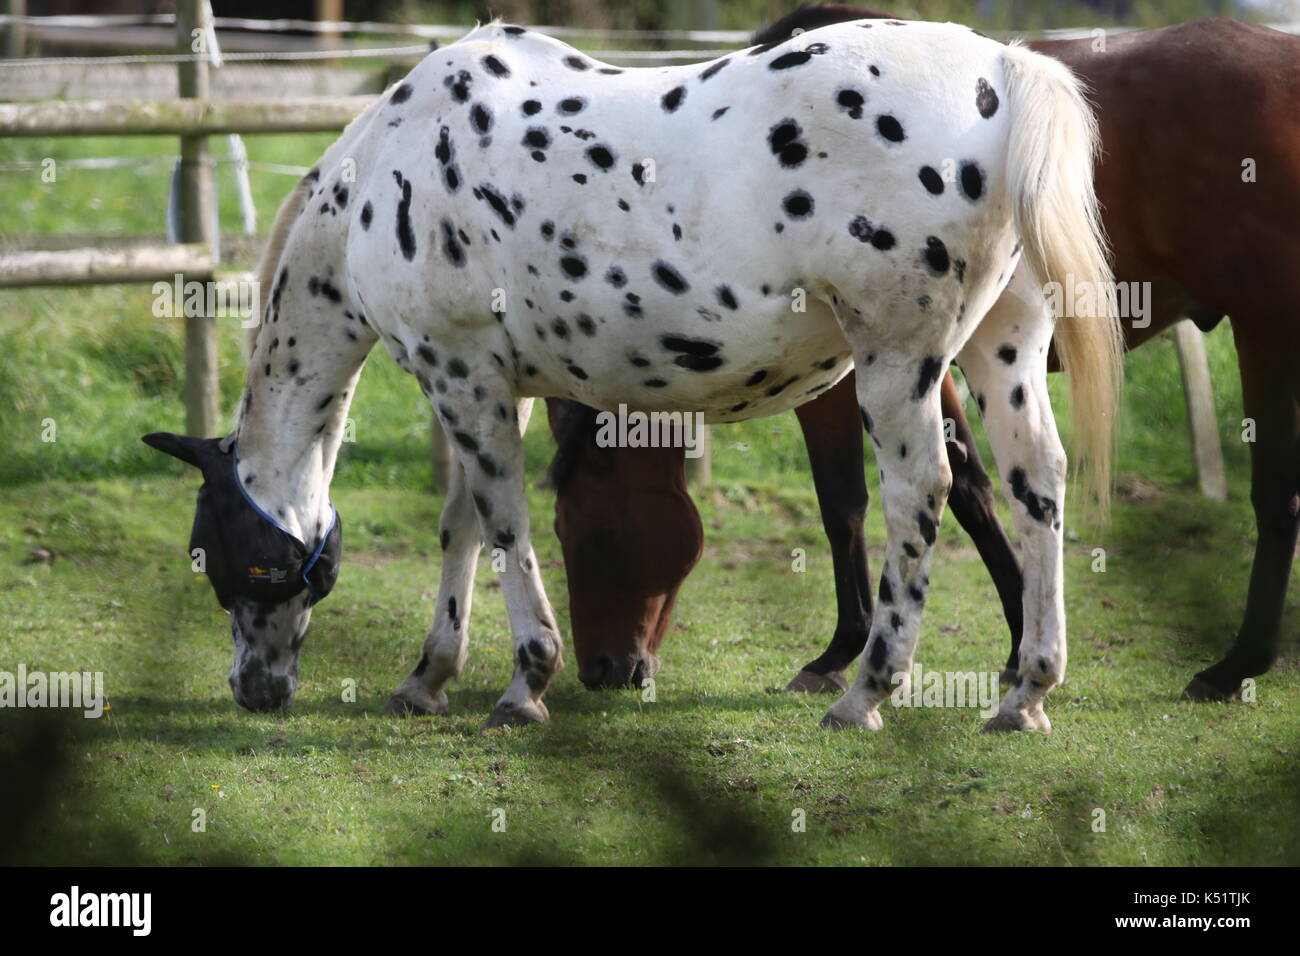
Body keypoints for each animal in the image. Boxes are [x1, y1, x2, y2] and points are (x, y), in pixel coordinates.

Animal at [143, 17, 1120, 732]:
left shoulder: (458, 378)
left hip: (896, 365)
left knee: (924, 492)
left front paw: (523, 684)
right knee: (1037, 483)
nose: (255, 689)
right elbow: (463, 524)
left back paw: (866, 692)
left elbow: (503, 525)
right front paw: (429, 676)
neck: (389, 169)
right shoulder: (487, 386)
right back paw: (1026, 690)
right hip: (1003, 348)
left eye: (228, 562)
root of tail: (999, 67)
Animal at [548, 7, 1300, 705]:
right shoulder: (932, 369)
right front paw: (1016, 640)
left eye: (585, 534)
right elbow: (972, 487)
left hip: (1266, 325)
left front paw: (841, 652)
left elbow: (846, 502)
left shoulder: (841, 380)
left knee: (1275, 497)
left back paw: (1236, 665)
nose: (602, 671)